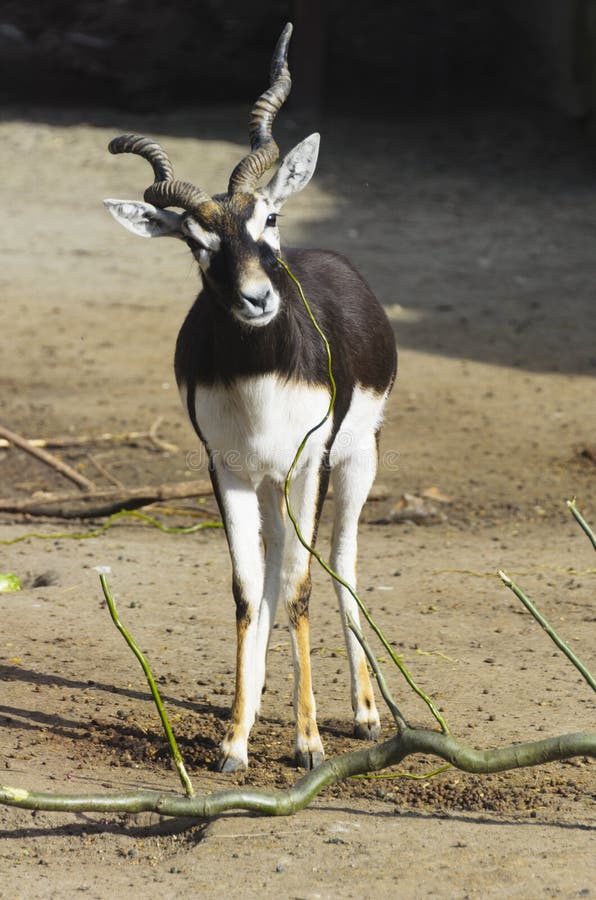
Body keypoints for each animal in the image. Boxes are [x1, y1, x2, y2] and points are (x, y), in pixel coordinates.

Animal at [104, 22, 397, 772]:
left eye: (269, 216)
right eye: (196, 240)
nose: (258, 299)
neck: (262, 379)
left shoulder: (308, 465)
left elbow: (298, 585)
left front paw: (309, 741)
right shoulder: (228, 468)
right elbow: (246, 588)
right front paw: (235, 739)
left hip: (356, 461)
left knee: (341, 563)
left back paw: (364, 714)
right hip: (267, 483)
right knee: (266, 575)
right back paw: (260, 704)